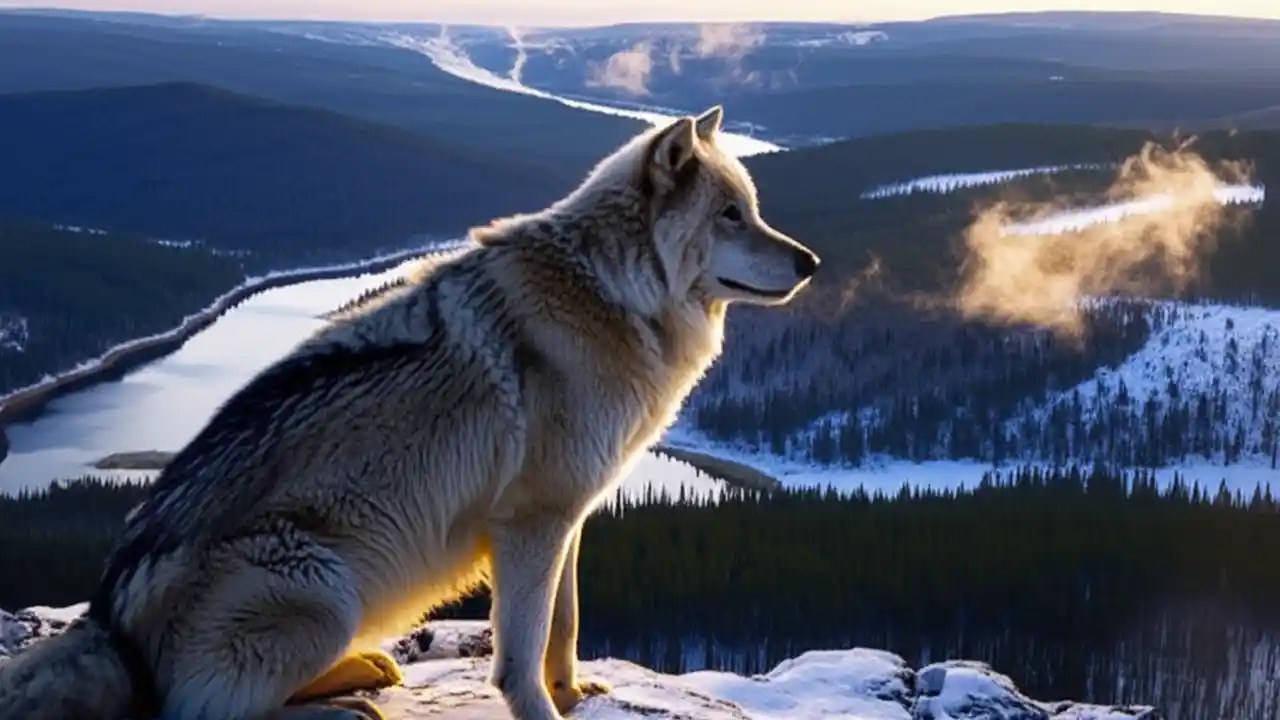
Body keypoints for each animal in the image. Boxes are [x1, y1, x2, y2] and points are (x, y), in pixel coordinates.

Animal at [0, 106, 818, 720]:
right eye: (730, 215)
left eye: (753, 211)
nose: (811, 263)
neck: (614, 292)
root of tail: (108, 618)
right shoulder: (530, 524)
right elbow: (518, 655)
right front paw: (542, 708)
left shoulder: (569, 518)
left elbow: (565, 626)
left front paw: (572, 691)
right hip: (326, 584)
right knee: (210, 713)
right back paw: (343, 701)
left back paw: (364, 675)